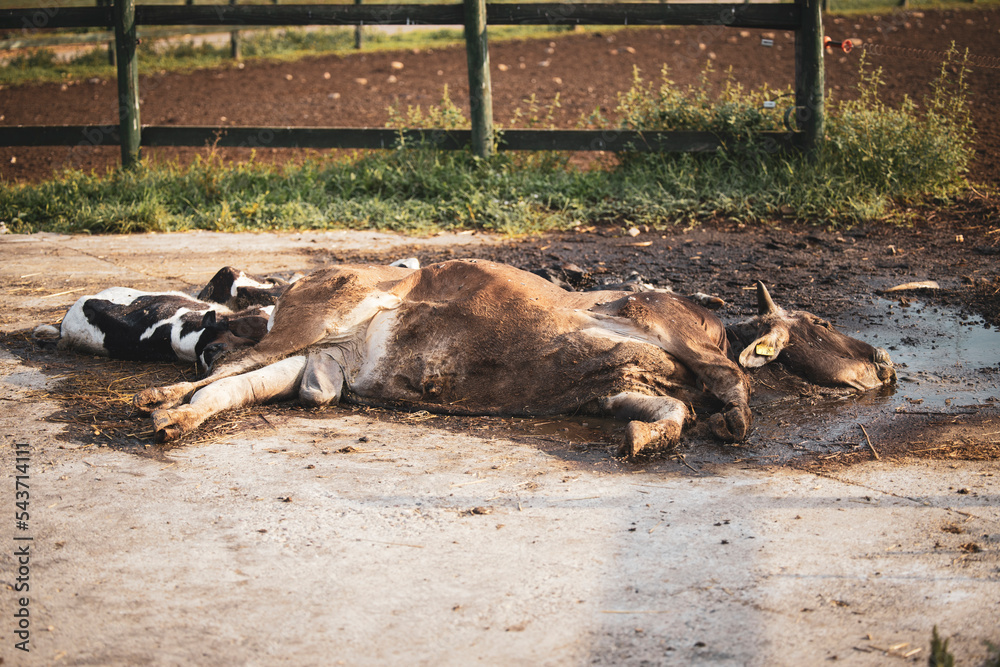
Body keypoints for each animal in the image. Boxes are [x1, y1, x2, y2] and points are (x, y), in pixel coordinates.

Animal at [132, 259, 895, 456]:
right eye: (822, 320)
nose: (886, 362)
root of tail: (302, 278)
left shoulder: (611, 383)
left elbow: (672, 409)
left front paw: (644, 437)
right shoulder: (665, 328)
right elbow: (734, 381)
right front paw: (732, 420)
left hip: (315, 370)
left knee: (229, 387)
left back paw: (173, 420)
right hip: (316, 315)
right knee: (224, 367)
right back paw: (153, 401)